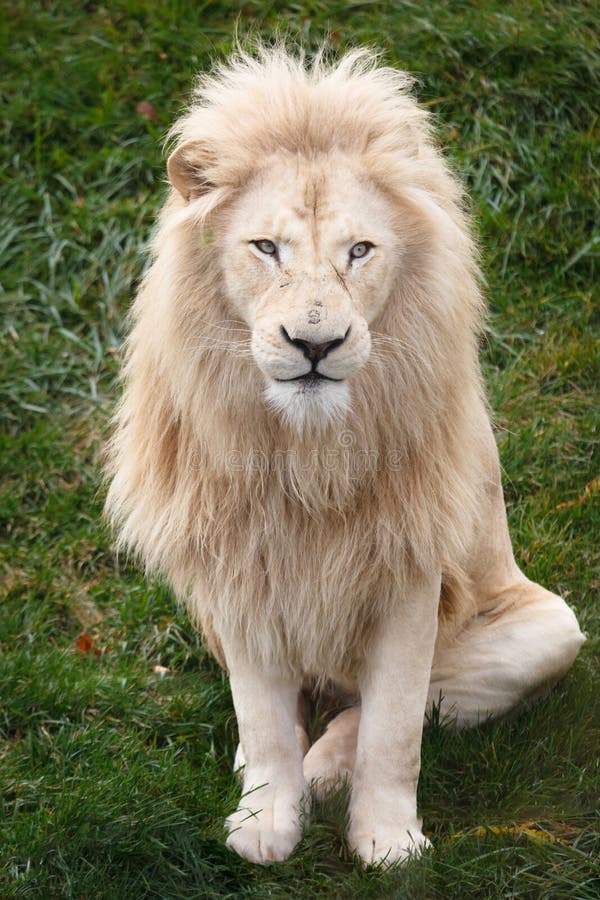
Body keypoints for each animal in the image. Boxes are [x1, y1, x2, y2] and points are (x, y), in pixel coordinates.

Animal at [104, 47, 585, 867]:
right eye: (266, 248)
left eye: (360, 251)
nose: (316, 344)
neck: (308, 454)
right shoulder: (240, 568)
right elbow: (264, 721)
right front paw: (266, 821)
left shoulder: (409, 573)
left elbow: (395, 727)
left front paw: (388, 841)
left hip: (551, 626)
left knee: (396, 704)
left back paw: (327, 768)